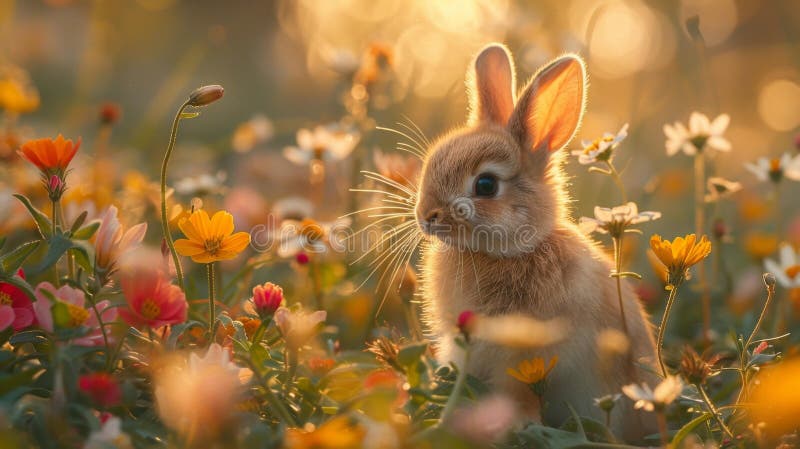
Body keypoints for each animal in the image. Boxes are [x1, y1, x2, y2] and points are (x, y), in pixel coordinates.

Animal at [413, 43, 659, 440]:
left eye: (485, 185)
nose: (426, 216)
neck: (513, 251)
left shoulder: (524, 357)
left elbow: (520, 393)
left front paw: (515, 425)